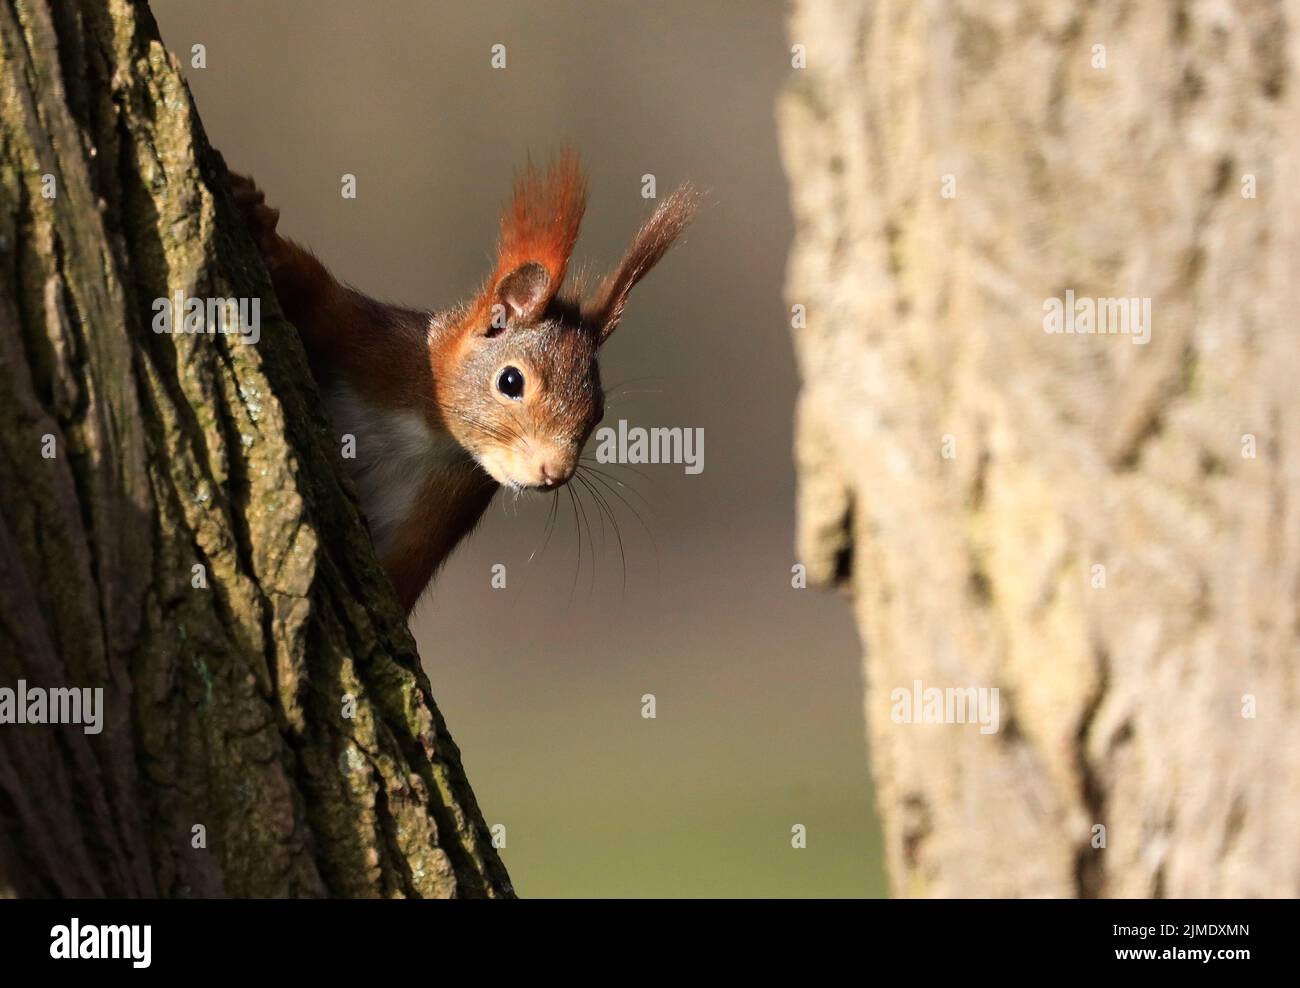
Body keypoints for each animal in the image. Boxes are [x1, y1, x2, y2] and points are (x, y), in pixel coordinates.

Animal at [229, 154, 698, 613]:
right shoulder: (376, 342)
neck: (428, 432)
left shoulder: (443, 509)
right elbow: (315, 291)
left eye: (598, 411)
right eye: (510, 381)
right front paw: (256, 215)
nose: (555, 473)